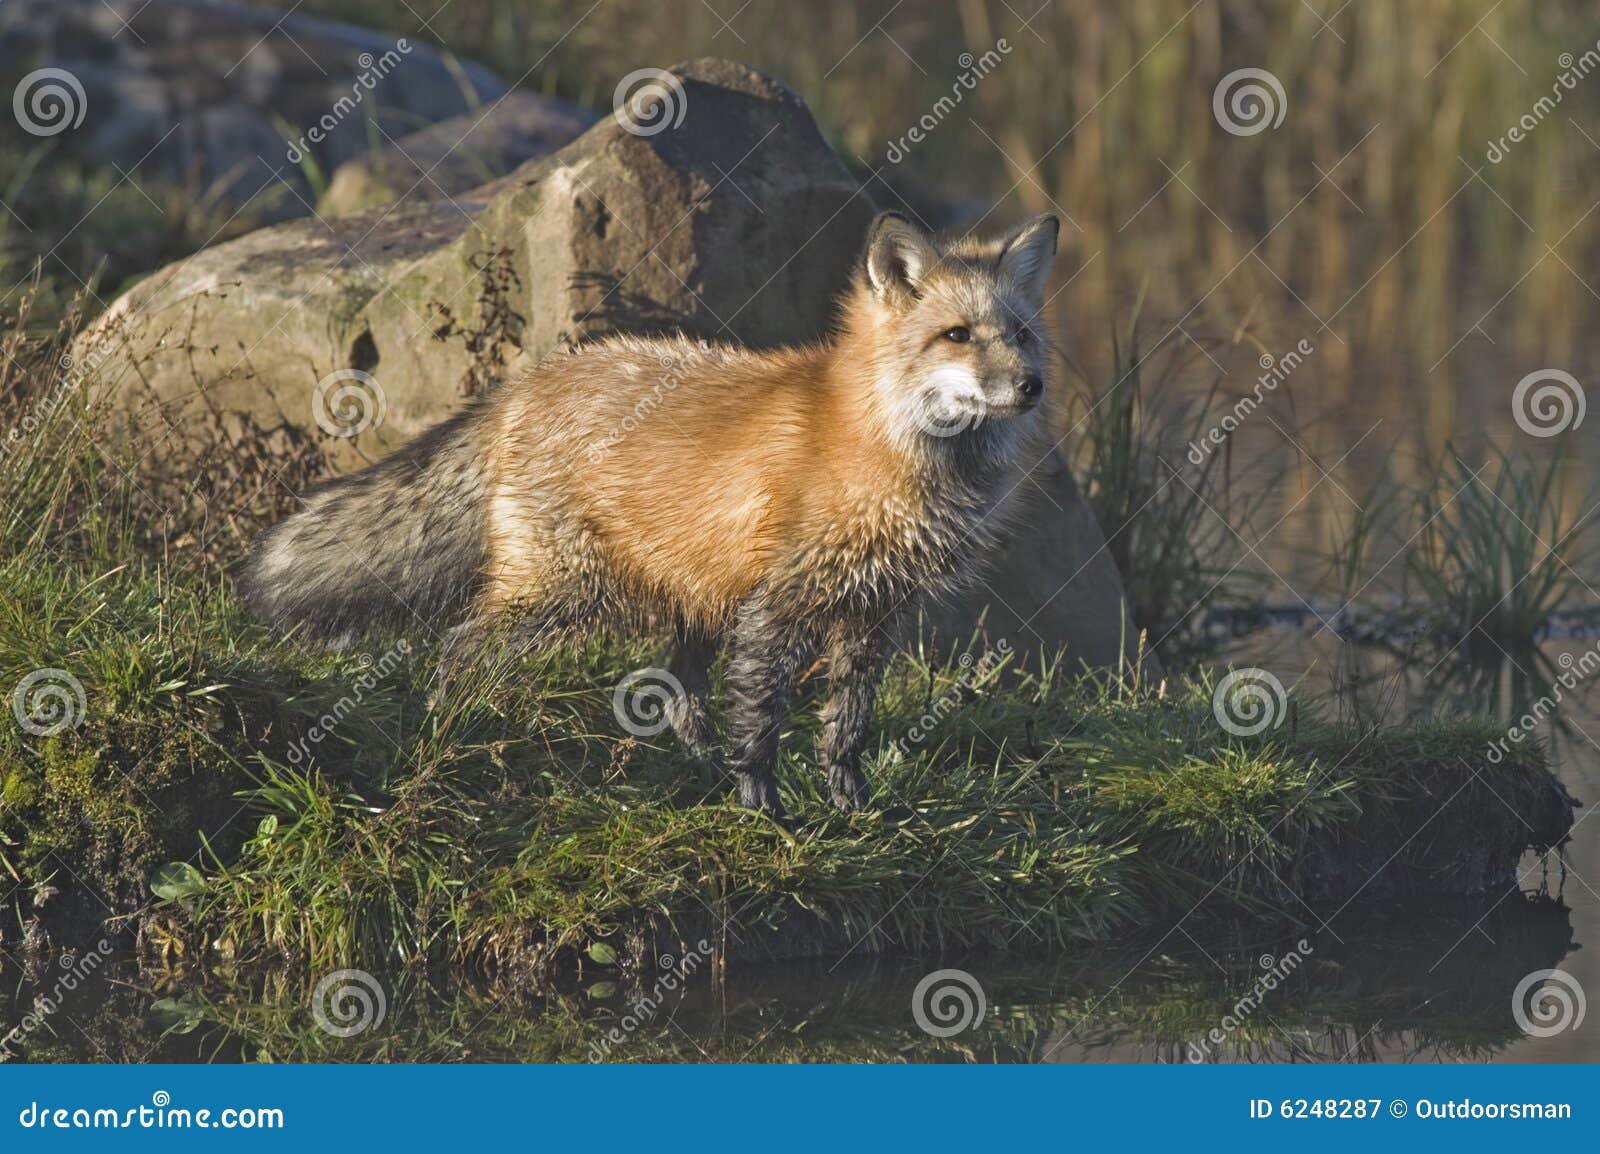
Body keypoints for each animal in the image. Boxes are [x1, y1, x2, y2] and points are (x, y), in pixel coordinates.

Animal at [242, 210, 1061, 818]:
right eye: (957, 335)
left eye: (1021, 333)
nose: (1032, 386)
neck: (894, 453)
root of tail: (522, 383)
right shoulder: (779, 601)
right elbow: (761, 714)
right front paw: (765, 809)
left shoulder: (872, 608)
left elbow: (846, 729)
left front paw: (850, 807)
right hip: (564, 593)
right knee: (458, 647)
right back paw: (450, 731)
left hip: (684, 596)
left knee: (679, 701)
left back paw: (700, 770)